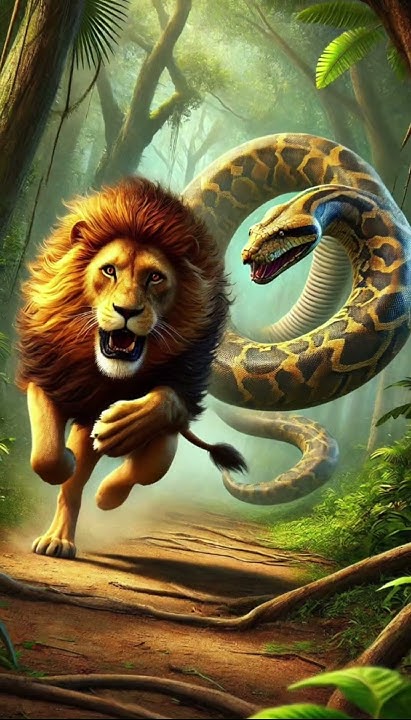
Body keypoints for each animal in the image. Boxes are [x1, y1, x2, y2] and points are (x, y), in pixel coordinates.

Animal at [16, 177, 246, 559]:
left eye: (154, 277)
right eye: (109, 270)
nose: (127, 311)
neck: (108, 377)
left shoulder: (177, 400)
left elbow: (153, 458)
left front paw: (111, 478)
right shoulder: (49, 374)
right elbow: (46, 455)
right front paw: (67, 462)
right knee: (71, 481)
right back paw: (57, 538)